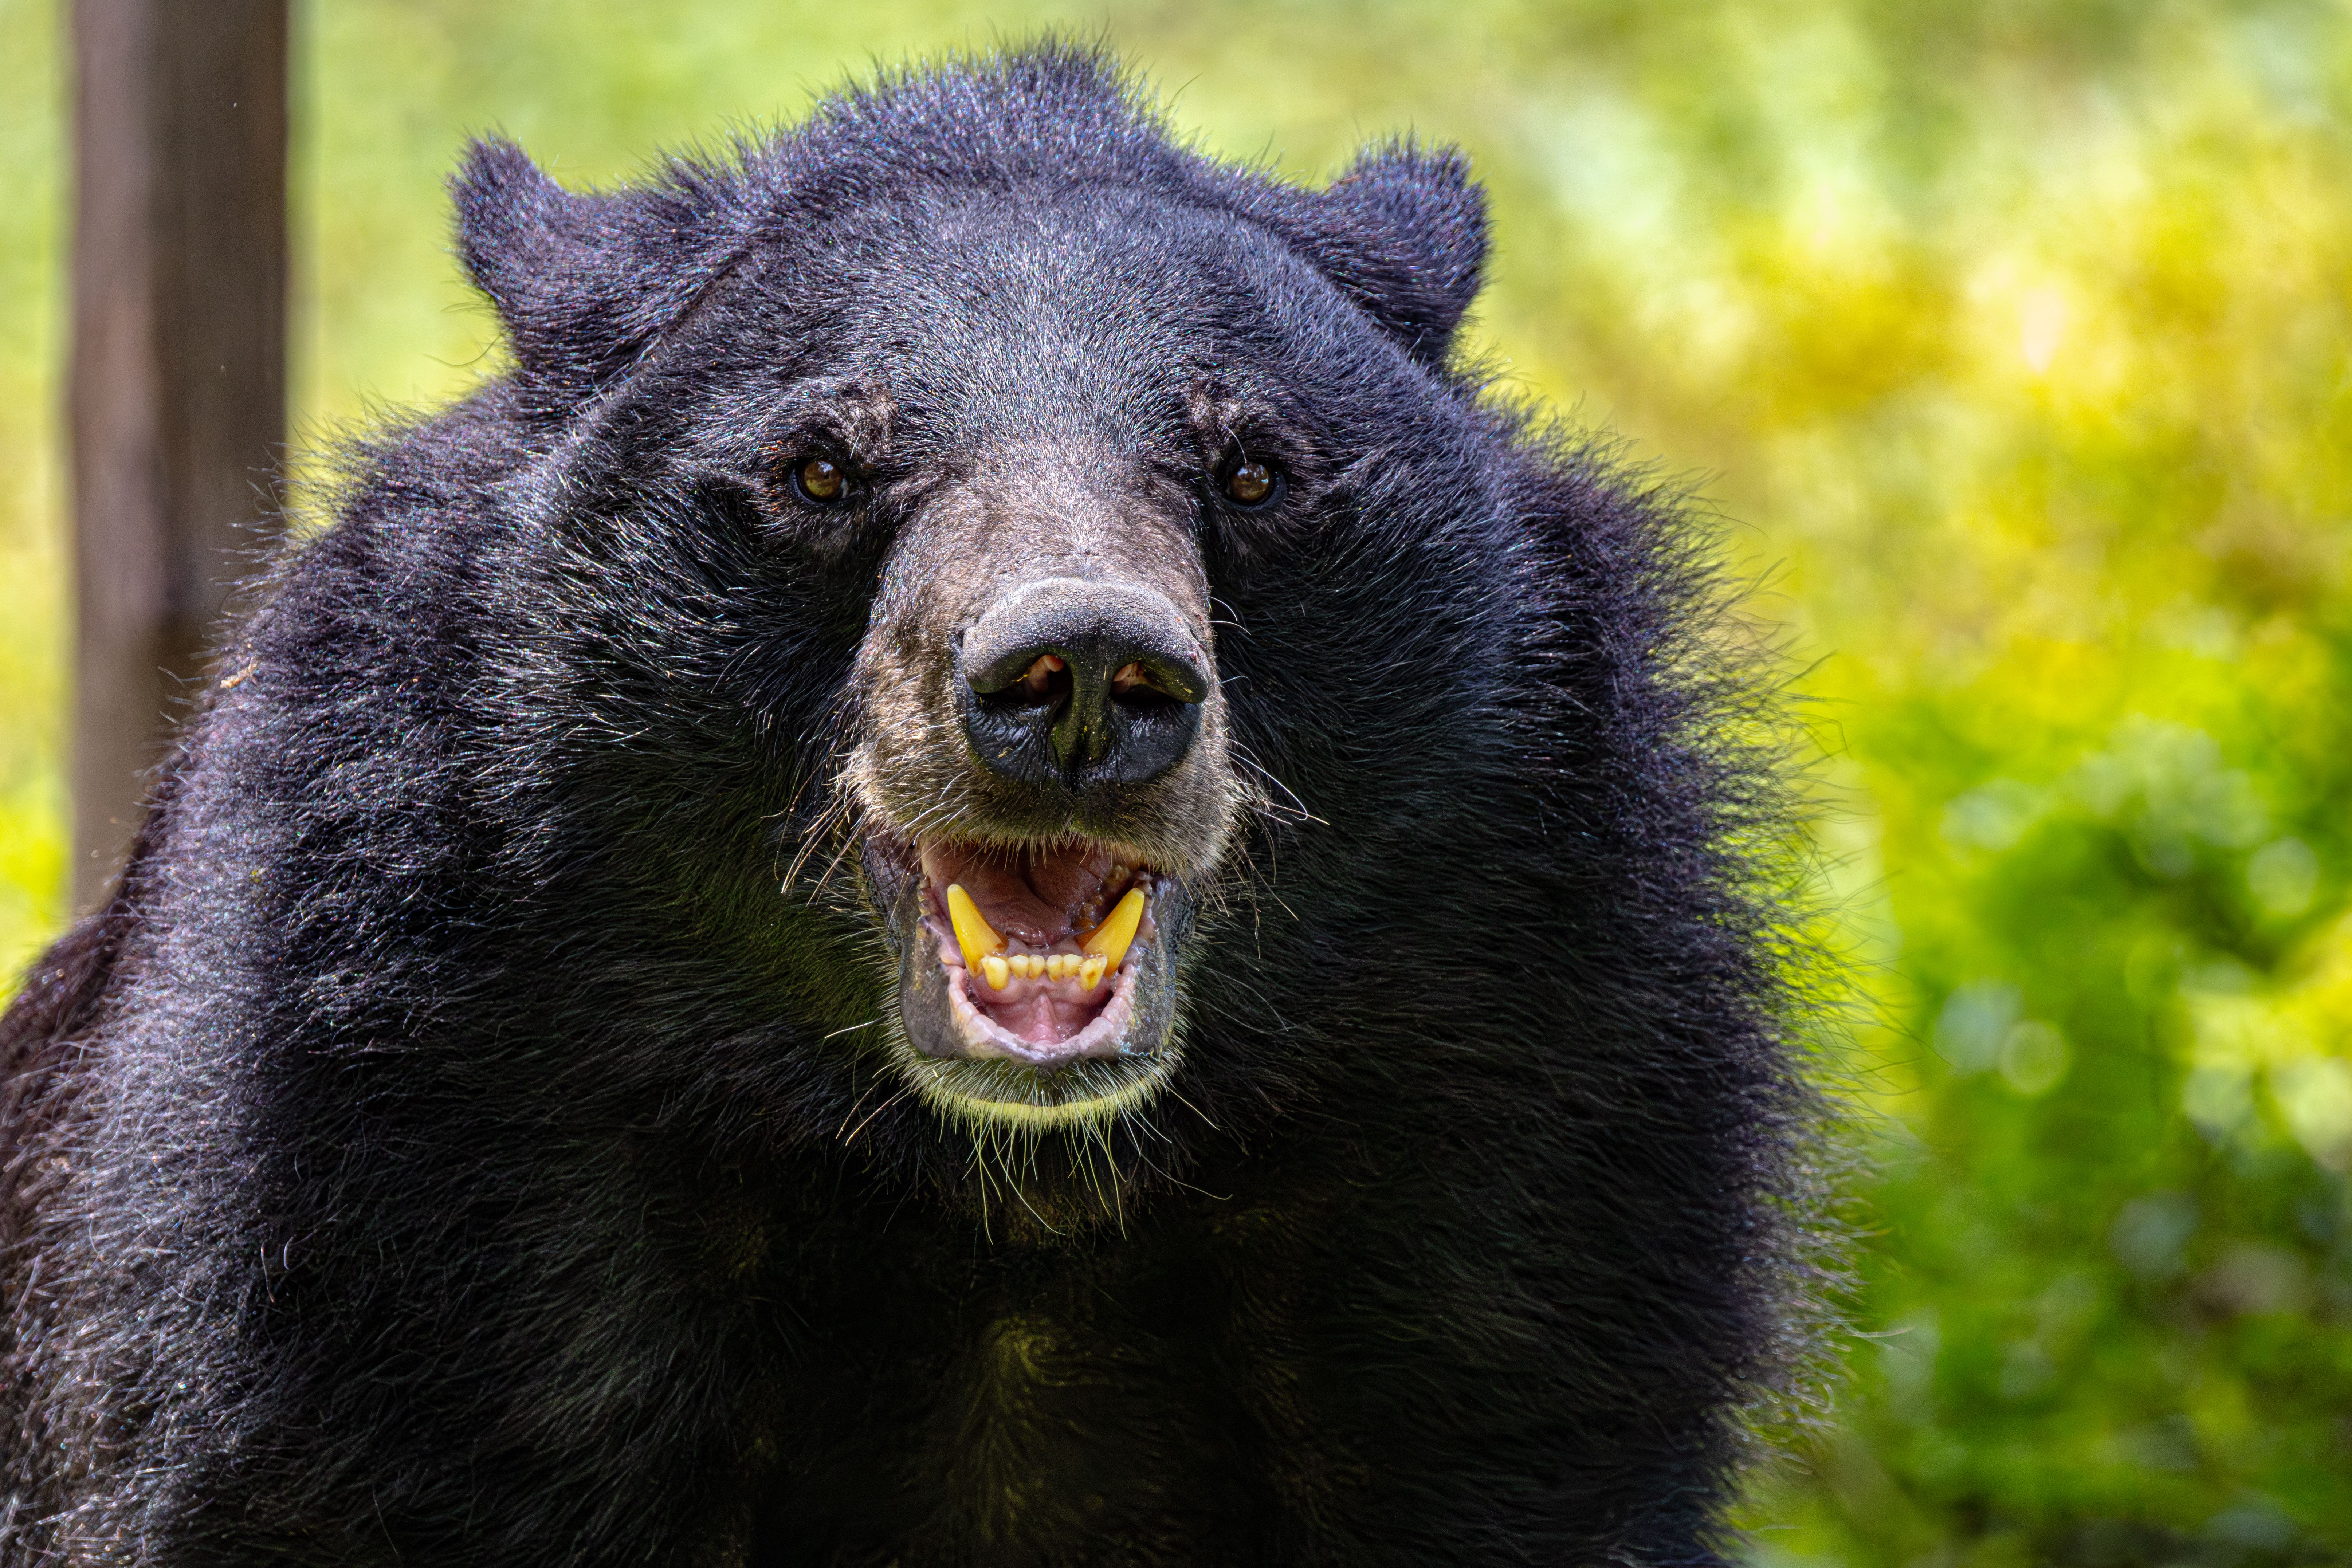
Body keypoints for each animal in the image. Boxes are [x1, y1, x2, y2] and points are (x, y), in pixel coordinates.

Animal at [0, 44, 1824, 1567]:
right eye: (819, 467)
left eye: (1251, 470)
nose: (1078, 678)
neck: (994, 1192)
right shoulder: (387, 1210)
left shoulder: (1519, 1192)